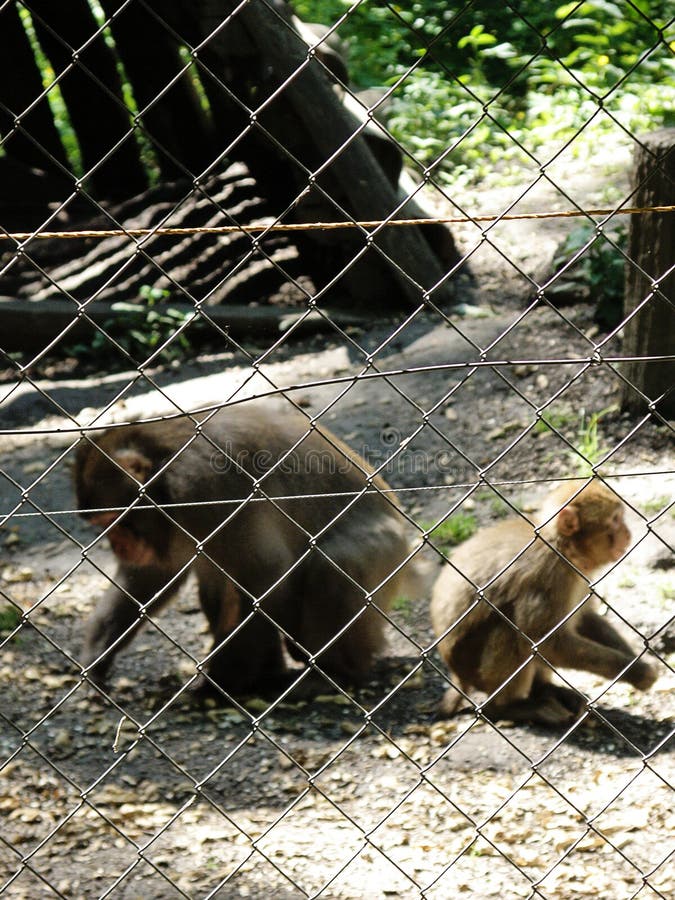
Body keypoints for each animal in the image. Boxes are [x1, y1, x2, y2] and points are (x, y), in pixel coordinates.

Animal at [75, 400, 413, 698]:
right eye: (100, 524)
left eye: (114, 521)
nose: (116, 545)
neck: (166, 476)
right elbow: (149, 579)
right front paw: (97, 658)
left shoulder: (208, 489)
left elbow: (264, 572)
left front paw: (221, 681)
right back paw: (274, 672)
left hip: (384, 556)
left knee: (332, 566)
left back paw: (333, 673)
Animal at [430, 480, 658, 726]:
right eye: (615, 519)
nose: (627, 532)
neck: (563, 548)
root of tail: (457, 674)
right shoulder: (545, 576)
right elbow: (547, 643)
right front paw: (636, 671)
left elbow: (585, 619)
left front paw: (637, 659)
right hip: (474, 669)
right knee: (512, 633)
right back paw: (507, 708)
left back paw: (545, 690)